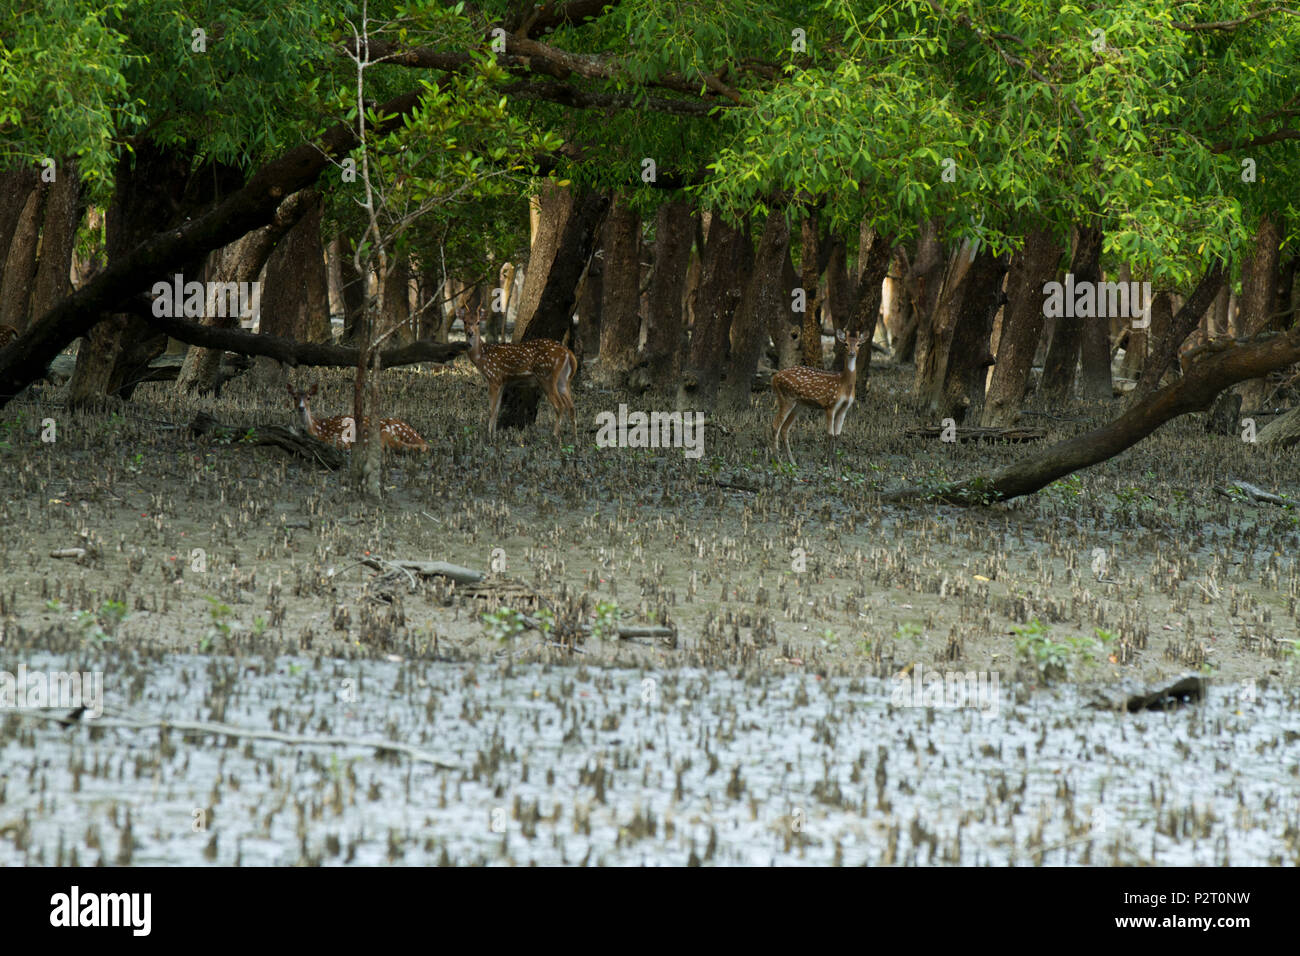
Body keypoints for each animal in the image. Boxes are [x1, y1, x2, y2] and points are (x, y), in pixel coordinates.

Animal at [286, 383, 429, 452]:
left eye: (309, 397)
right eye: (295, 397)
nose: (301, 408)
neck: (316, 429)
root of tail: (418, 436)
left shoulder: (339, 439)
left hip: (384, 433)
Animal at [461, 306, 577, 442]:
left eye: (478, 322)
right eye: (464, 321)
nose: (470, 332)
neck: (482, 356)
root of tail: (567, 352)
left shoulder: (493, 377)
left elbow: (491, 409)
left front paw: (488, 436)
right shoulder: (502, 382)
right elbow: (497, 410)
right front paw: (494, 435)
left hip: (547, 376)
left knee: (560, 406)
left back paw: (554, 436)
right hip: (563, 379)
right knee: (571, 406)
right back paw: (575, 438)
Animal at [771, 328, 864, 466]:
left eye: (859, 344)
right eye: (846, 344)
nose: (852, 353)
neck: (844, 385)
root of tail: (774, 378)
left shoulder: (845, 408)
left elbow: (837, 435)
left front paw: (835, 463)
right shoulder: (830, 404)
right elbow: (830, 434)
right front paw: (827, 463)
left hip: (799, 405)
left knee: (784, 428)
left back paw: (792, 461)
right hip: (786, 398)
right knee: (775, 425)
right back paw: (777, 460)